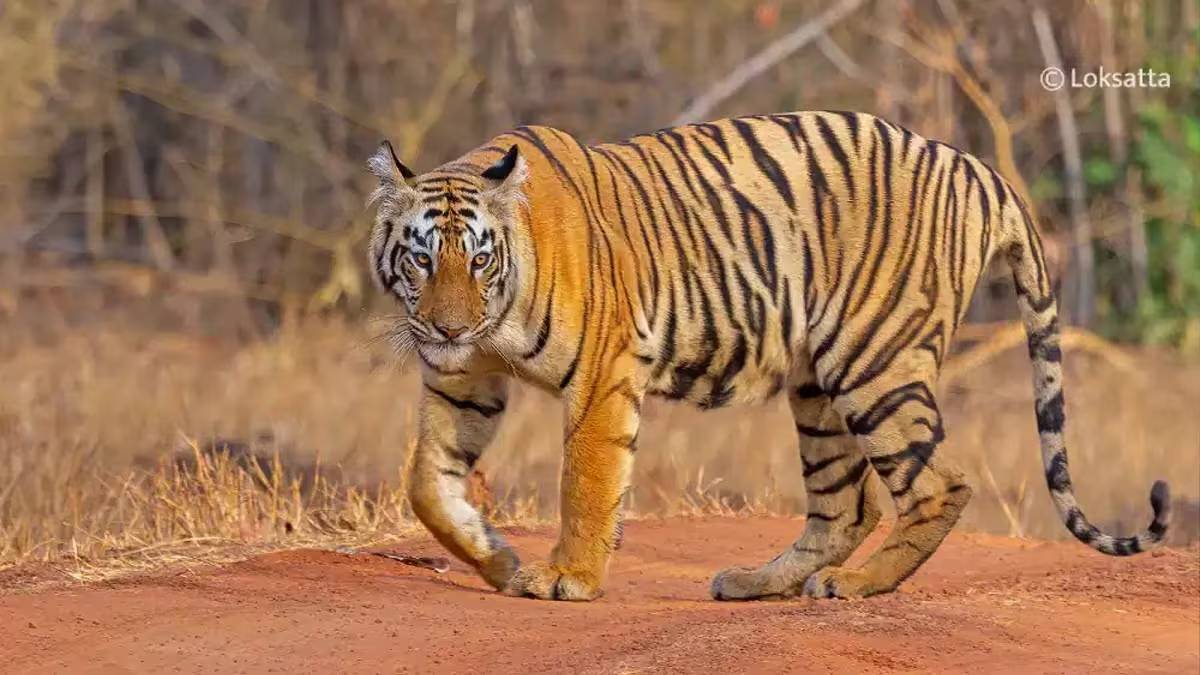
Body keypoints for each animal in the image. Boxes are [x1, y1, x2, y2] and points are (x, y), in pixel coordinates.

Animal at [365, 111, 1171, 602]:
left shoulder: (603, 372)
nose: (446, 328)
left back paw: (858, 586)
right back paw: (759, 582)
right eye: (421, 257)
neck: (493, 320)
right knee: (847, 505)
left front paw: (567, 577)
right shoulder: (461, 380)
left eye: (478, 258)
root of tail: (979, 168)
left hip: (873, 360)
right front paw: (497, 558)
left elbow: (586, 482)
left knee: (938, 485)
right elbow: (426, 485)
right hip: (818, 384)